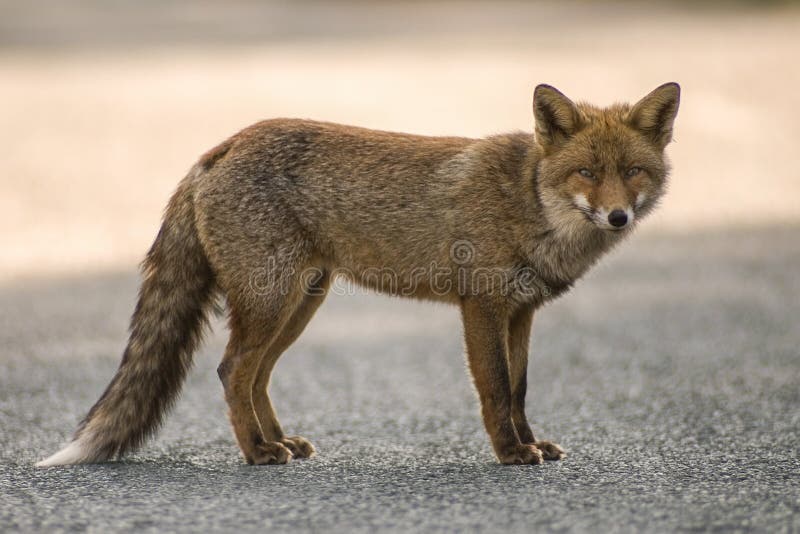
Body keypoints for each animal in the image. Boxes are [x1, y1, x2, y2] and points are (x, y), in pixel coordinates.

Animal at [37, 82, 679, 467]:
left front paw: (528, 443)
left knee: (253, 376)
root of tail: (221, 146)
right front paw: (509, 454)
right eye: (587, 172)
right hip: (273, 301)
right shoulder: (481, 306)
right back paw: (257, 453)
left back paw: (277, 440)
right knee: (231, 370)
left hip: (300, 304)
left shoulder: (520, 311)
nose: (618, 216)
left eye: (633, 171)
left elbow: (519, 390)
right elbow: (496, 390)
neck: (529, 204)